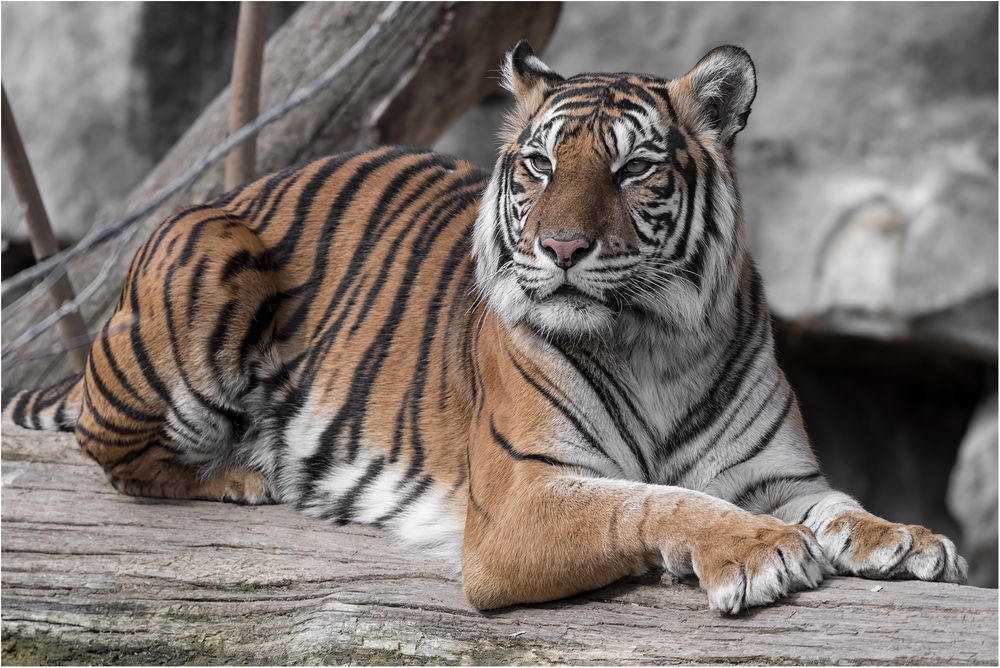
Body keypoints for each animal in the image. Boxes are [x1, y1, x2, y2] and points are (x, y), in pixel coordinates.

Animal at [2, 42, 967, 613]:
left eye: (634, 169)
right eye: (539, 164)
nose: (562, 247)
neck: (656, 342)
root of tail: (248, 187)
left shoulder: (777, 471)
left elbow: (837, 502)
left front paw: (908, 539)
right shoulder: (522, 498)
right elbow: (655, 498)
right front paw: (761, 550)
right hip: (208, 256)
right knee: (114, 454)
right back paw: (244, 475)